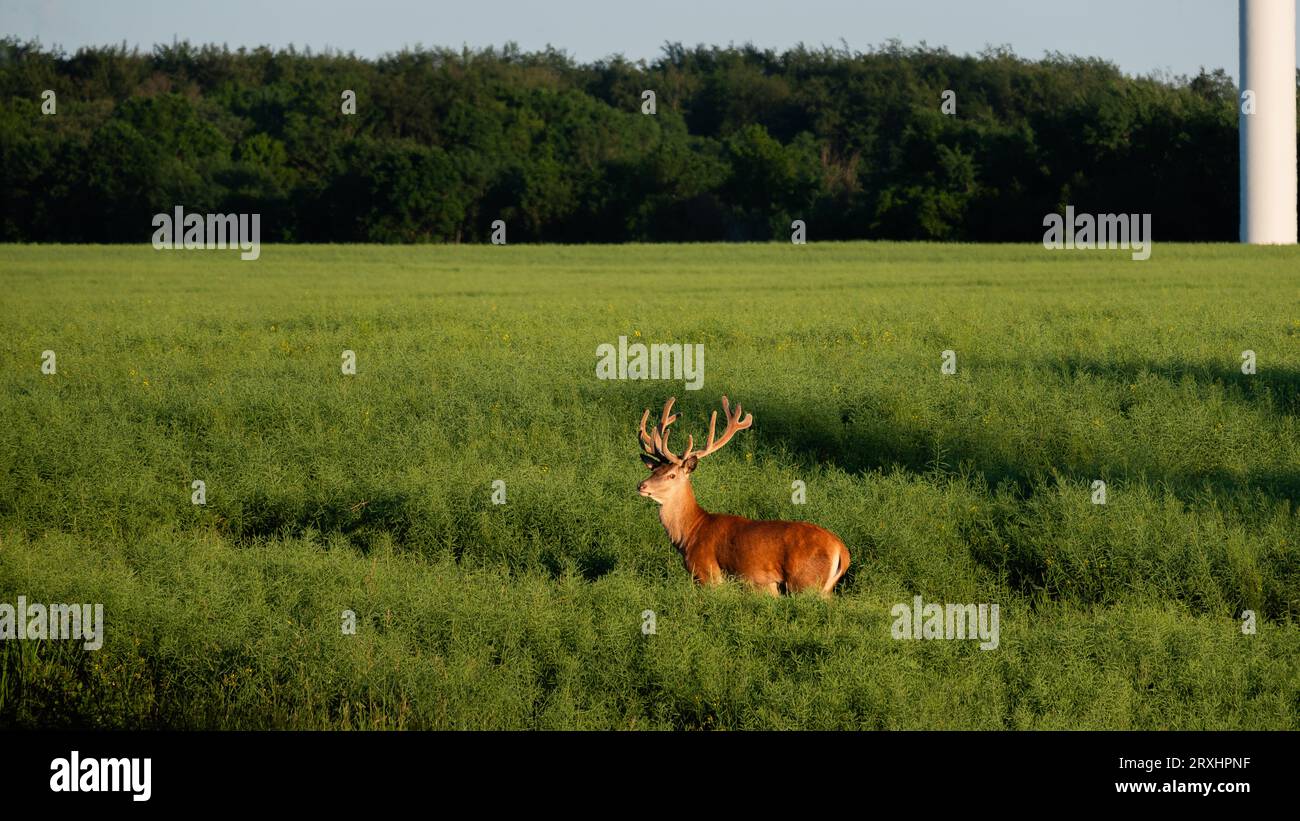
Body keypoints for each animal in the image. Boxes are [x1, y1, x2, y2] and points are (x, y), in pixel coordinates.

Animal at [636, 396, 851, 597]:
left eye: (672, 475)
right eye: (654, 469)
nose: (641, 485)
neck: (690, 533)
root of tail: (842, 550)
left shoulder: (707, 573)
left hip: (806, 582)